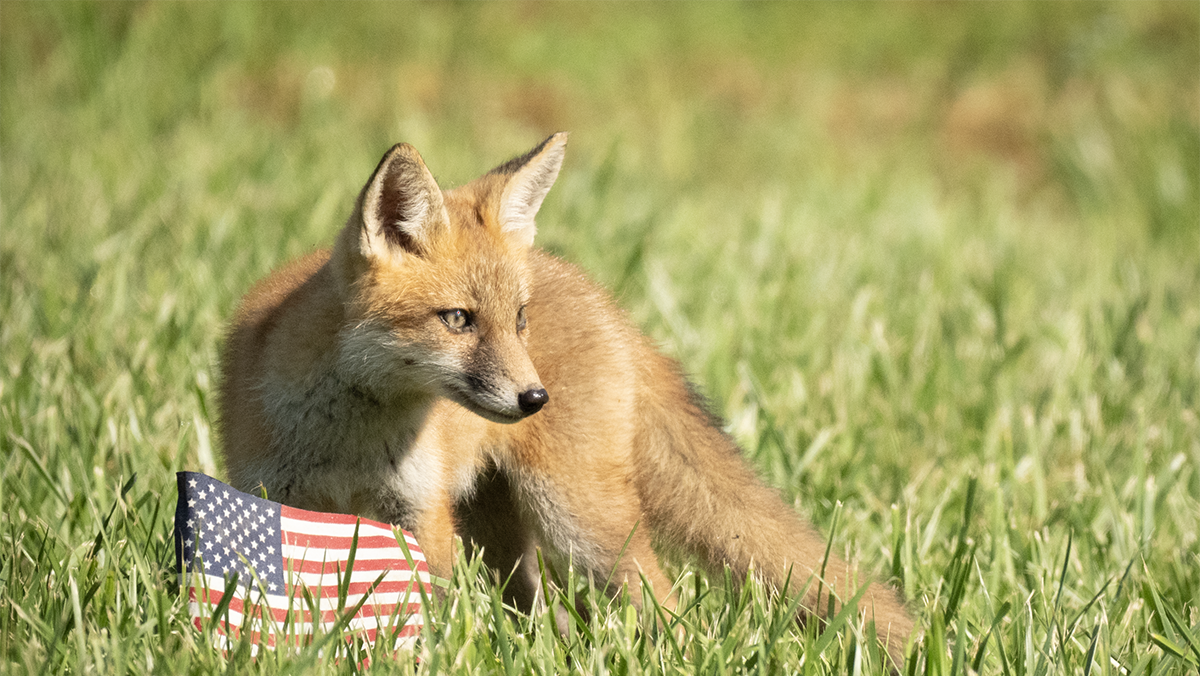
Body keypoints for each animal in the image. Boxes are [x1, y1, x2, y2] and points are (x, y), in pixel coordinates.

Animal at [218, 133, 914, 663]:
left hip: (580, 524)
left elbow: (424, 614)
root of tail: (601, 296)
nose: (535, 398)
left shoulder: (421, 514)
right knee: (538, 611)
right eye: (458, 319)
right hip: (502, 534)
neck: (347, 442)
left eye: (518, 319)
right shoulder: (277, 504)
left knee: (667, 606)